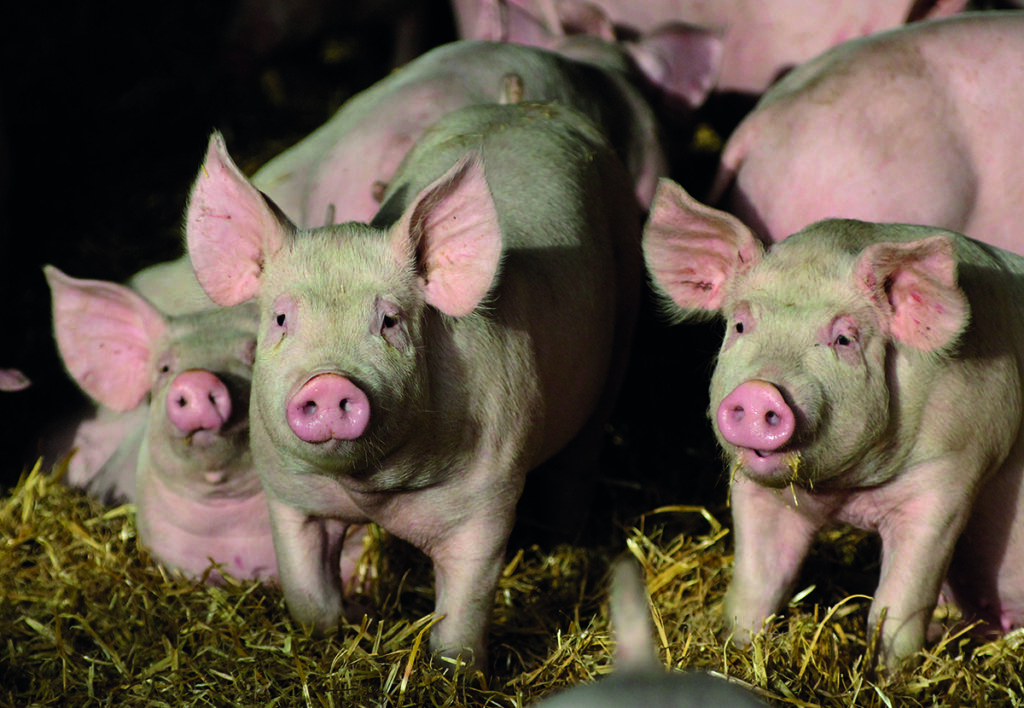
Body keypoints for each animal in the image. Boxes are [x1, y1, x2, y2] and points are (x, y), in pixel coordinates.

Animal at [185, 99, 641, 668]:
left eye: (390, 321)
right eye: (282, 318)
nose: (329, 382)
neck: (373, 492)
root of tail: (517, 101)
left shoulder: (489, 496)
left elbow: (463, 611)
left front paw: (454, 670)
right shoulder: (288, 494)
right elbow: (308, 596)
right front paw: (334, 631)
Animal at [643, 179, 1024, 669]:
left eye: (843, 338)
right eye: (741, 325)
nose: (760, 391)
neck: (847, 494)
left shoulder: (951, 474)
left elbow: (898, 603)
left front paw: (888, 671)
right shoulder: (756, 490)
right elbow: (757, 583)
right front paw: (739, 648)